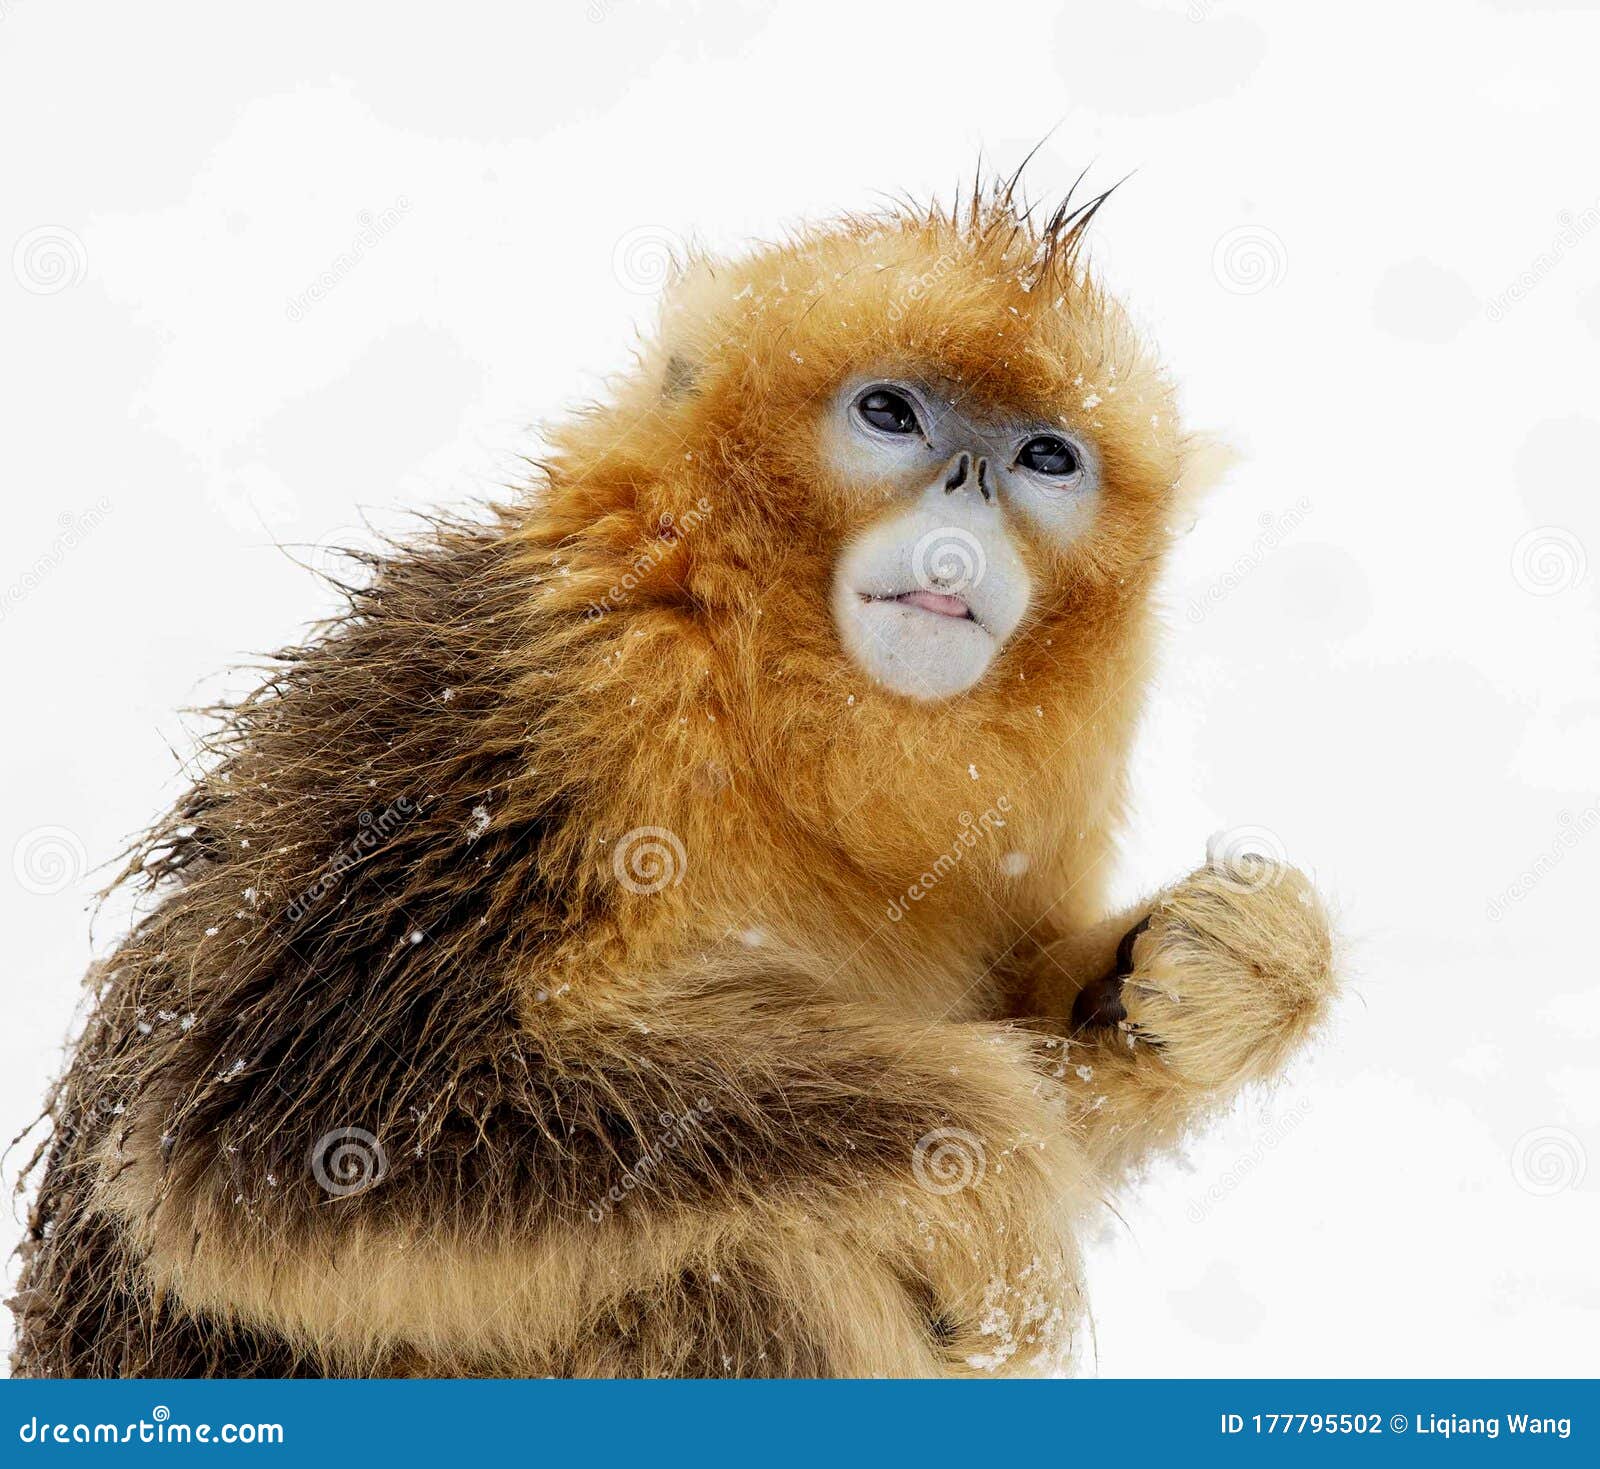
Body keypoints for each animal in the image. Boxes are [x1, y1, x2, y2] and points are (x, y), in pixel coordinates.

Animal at [9, 178, 1337, 1379]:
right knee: (747, 1259)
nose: (969, 487)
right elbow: (267, 1143)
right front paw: (979, 1155)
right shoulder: (561, 699)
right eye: (891, 413)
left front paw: (1224, 973)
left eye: (1045, 456)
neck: (751, 666)